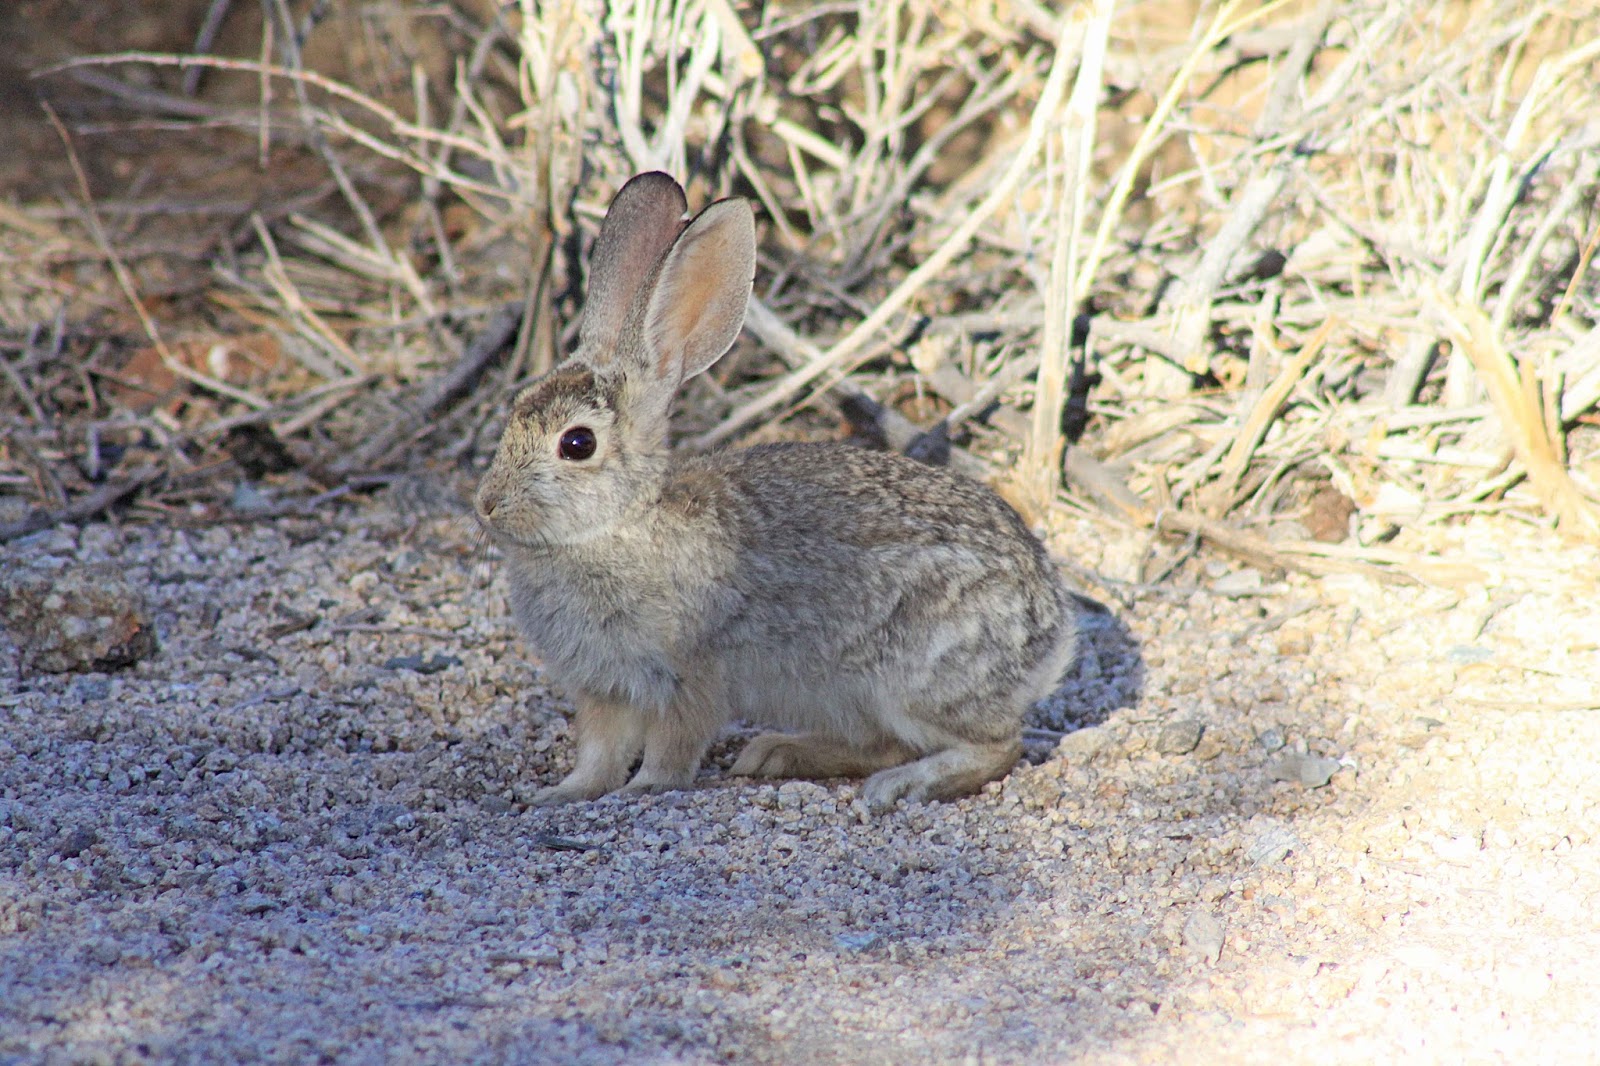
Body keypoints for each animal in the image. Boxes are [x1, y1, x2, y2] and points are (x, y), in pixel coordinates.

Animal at [473, 171, 1077, 812]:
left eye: (577, 444)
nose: (486, 505)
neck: (615, 526)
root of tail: (1053, 630)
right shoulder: (605, 689)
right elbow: (598, 754)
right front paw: (557, 795)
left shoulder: (691, 674)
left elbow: (672, 746)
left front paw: (648, 786)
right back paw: (777, 753)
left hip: (914, 680)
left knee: (997, 746)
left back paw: (897, 785)